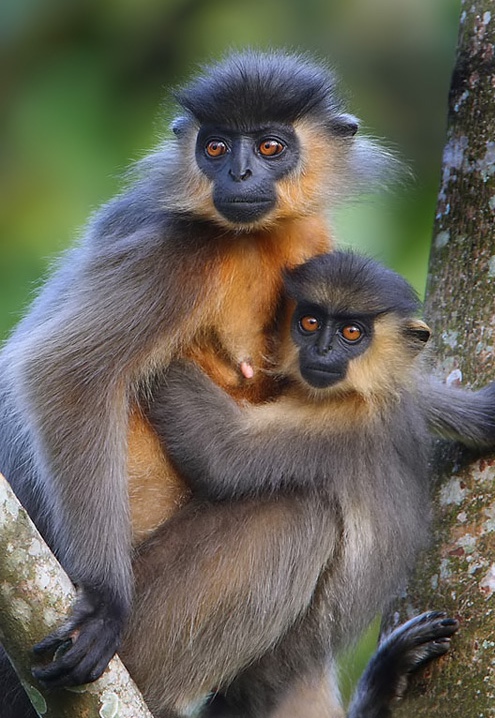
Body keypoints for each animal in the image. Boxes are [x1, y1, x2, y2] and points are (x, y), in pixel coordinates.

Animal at [0, 50, 393, 690]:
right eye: (215, 147)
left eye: (269, 147)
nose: (237, 174)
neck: (255, 240)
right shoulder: (186, 249)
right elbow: (62, 371)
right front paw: (104, 598)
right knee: (301, 515)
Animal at [112, 250, 494, 717]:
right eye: (310, 322)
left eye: (352, 332)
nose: (322, 350)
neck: (374, 393)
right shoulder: (408, 392)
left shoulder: (340, 422)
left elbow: (218, 450)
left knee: (301, 512)